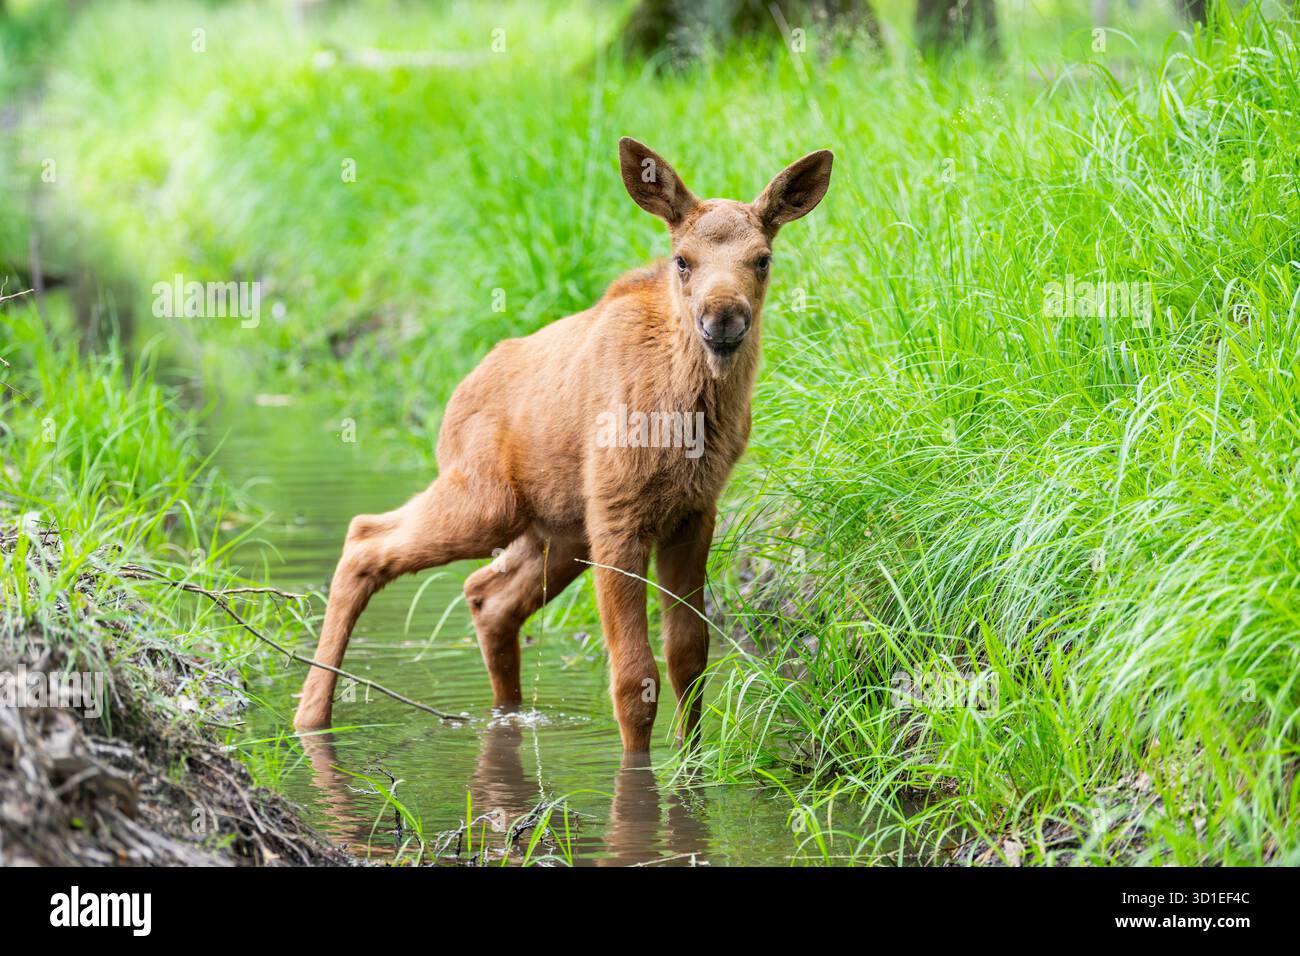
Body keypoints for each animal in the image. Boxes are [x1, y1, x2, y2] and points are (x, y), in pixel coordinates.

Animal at [293, 138, 833, 752]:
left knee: (488, 596)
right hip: (489, 502)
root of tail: (454, 398)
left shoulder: (693, 512)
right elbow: (634, 679)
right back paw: (310, 715)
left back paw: (504, 713)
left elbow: (689, 658)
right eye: (682, 260)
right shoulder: (618, 514)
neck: (688, 415)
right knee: (366, 538)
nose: (723, 317)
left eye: (762, 258)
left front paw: (692, 760)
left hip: (558, 528)